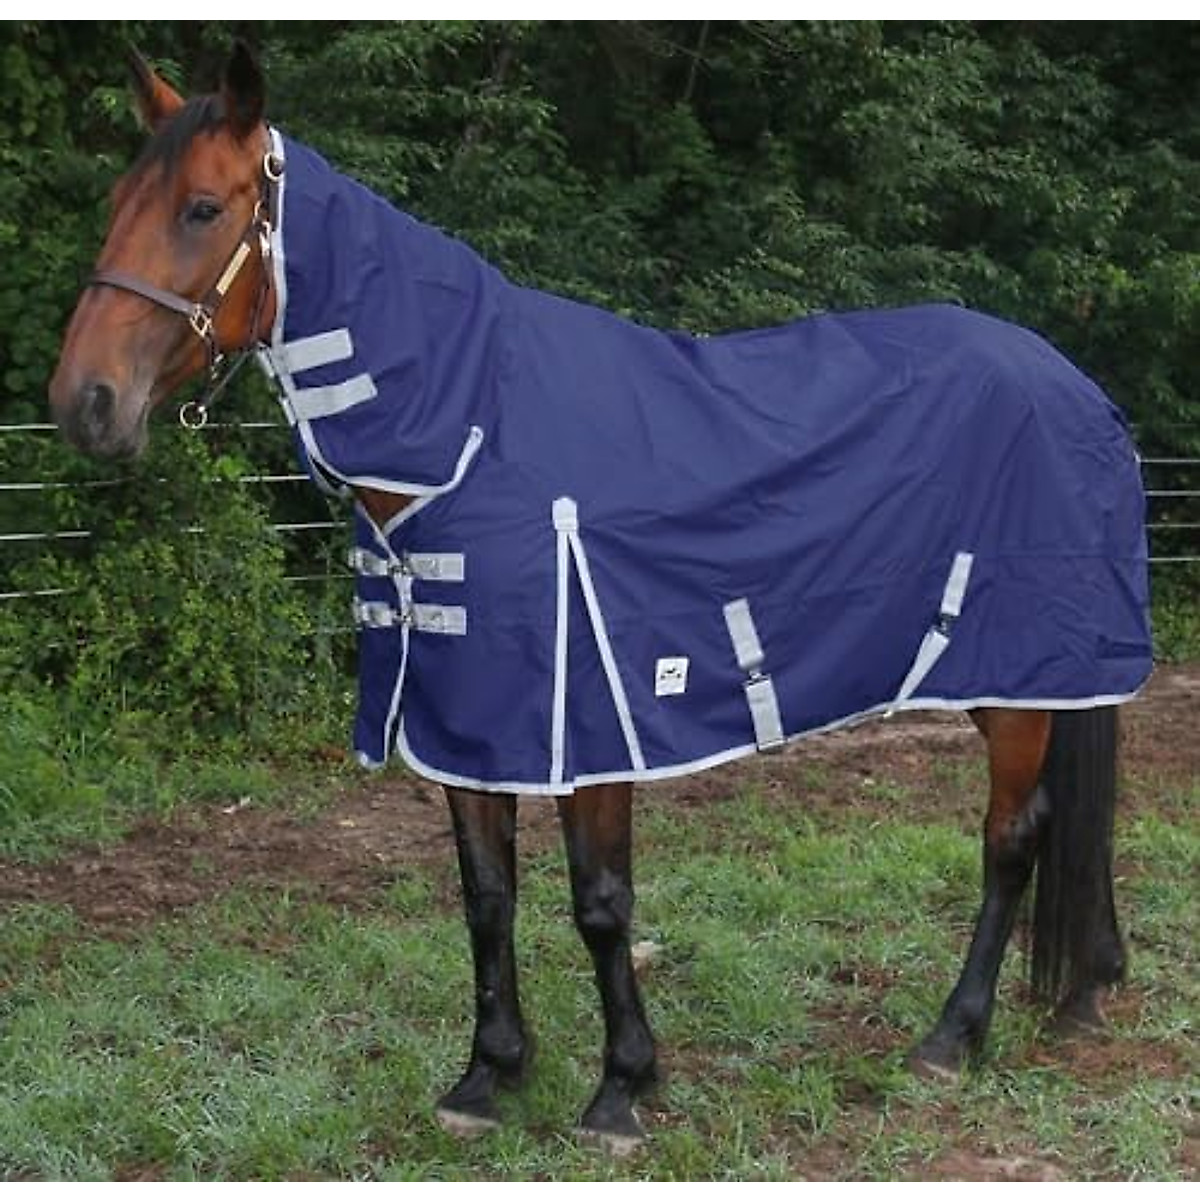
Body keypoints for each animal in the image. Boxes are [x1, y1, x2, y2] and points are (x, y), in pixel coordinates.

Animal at [48, 43, 1152, 1153]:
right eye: (115, 200)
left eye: (200, 208)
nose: (82, 403)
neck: (471, 432)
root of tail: (1073, 381)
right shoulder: (468, 719)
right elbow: (488, 897)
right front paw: (487, 1076)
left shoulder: (590, 724)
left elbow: (601, 903)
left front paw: (622, 1087)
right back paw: (1084, 989)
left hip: (1013, 676)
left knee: (1013, 837)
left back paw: (953, 1036)